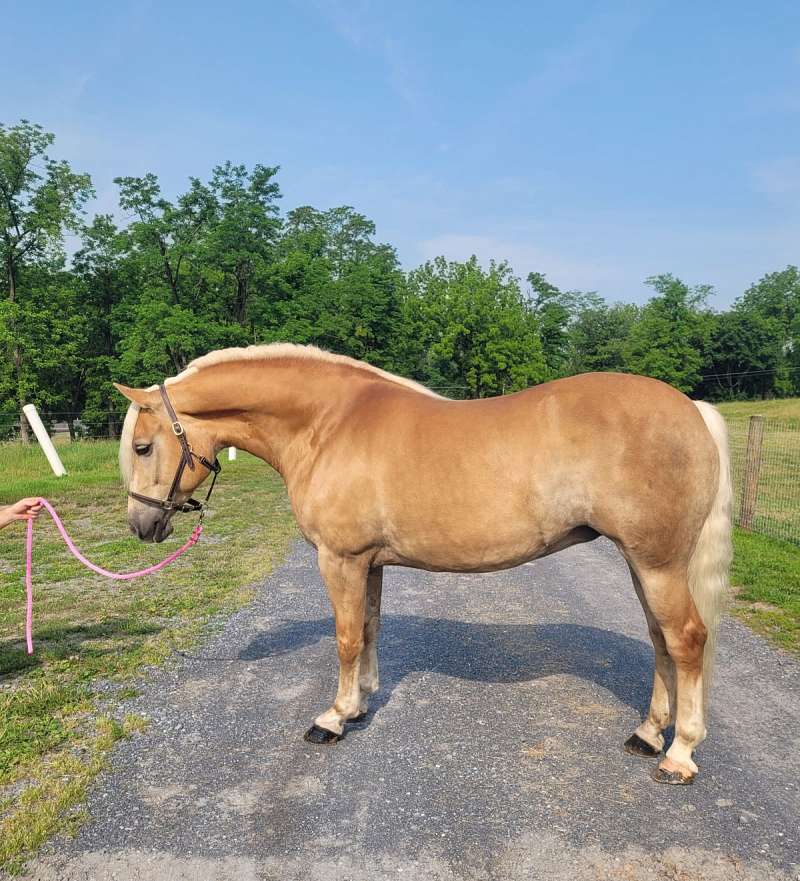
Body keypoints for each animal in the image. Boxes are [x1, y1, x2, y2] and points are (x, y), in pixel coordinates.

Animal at [115, 343, 731, 785]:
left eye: (143, 447)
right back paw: (648, 734)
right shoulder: (368, 562)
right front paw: (360, 705)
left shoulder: (340, 559)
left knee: (686, 640)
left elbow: (345, 638)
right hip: (643, 561)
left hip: (657, 563)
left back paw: (678, 754)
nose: (141, 526)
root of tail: (692, 409)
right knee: (660, 641)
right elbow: (369, 628)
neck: (327, 424)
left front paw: (332, 719)